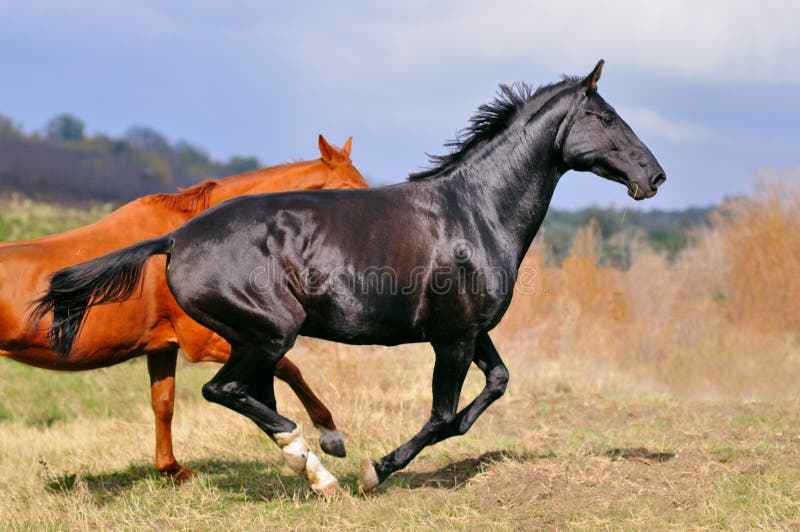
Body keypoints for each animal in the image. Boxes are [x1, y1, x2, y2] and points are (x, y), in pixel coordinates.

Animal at [5, 135, 367, 481]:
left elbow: (163, 404)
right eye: (349, 190)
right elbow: (288, 368)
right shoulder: (208, 343)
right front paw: (329, 434)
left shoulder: (162, 346)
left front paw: (171, 469)